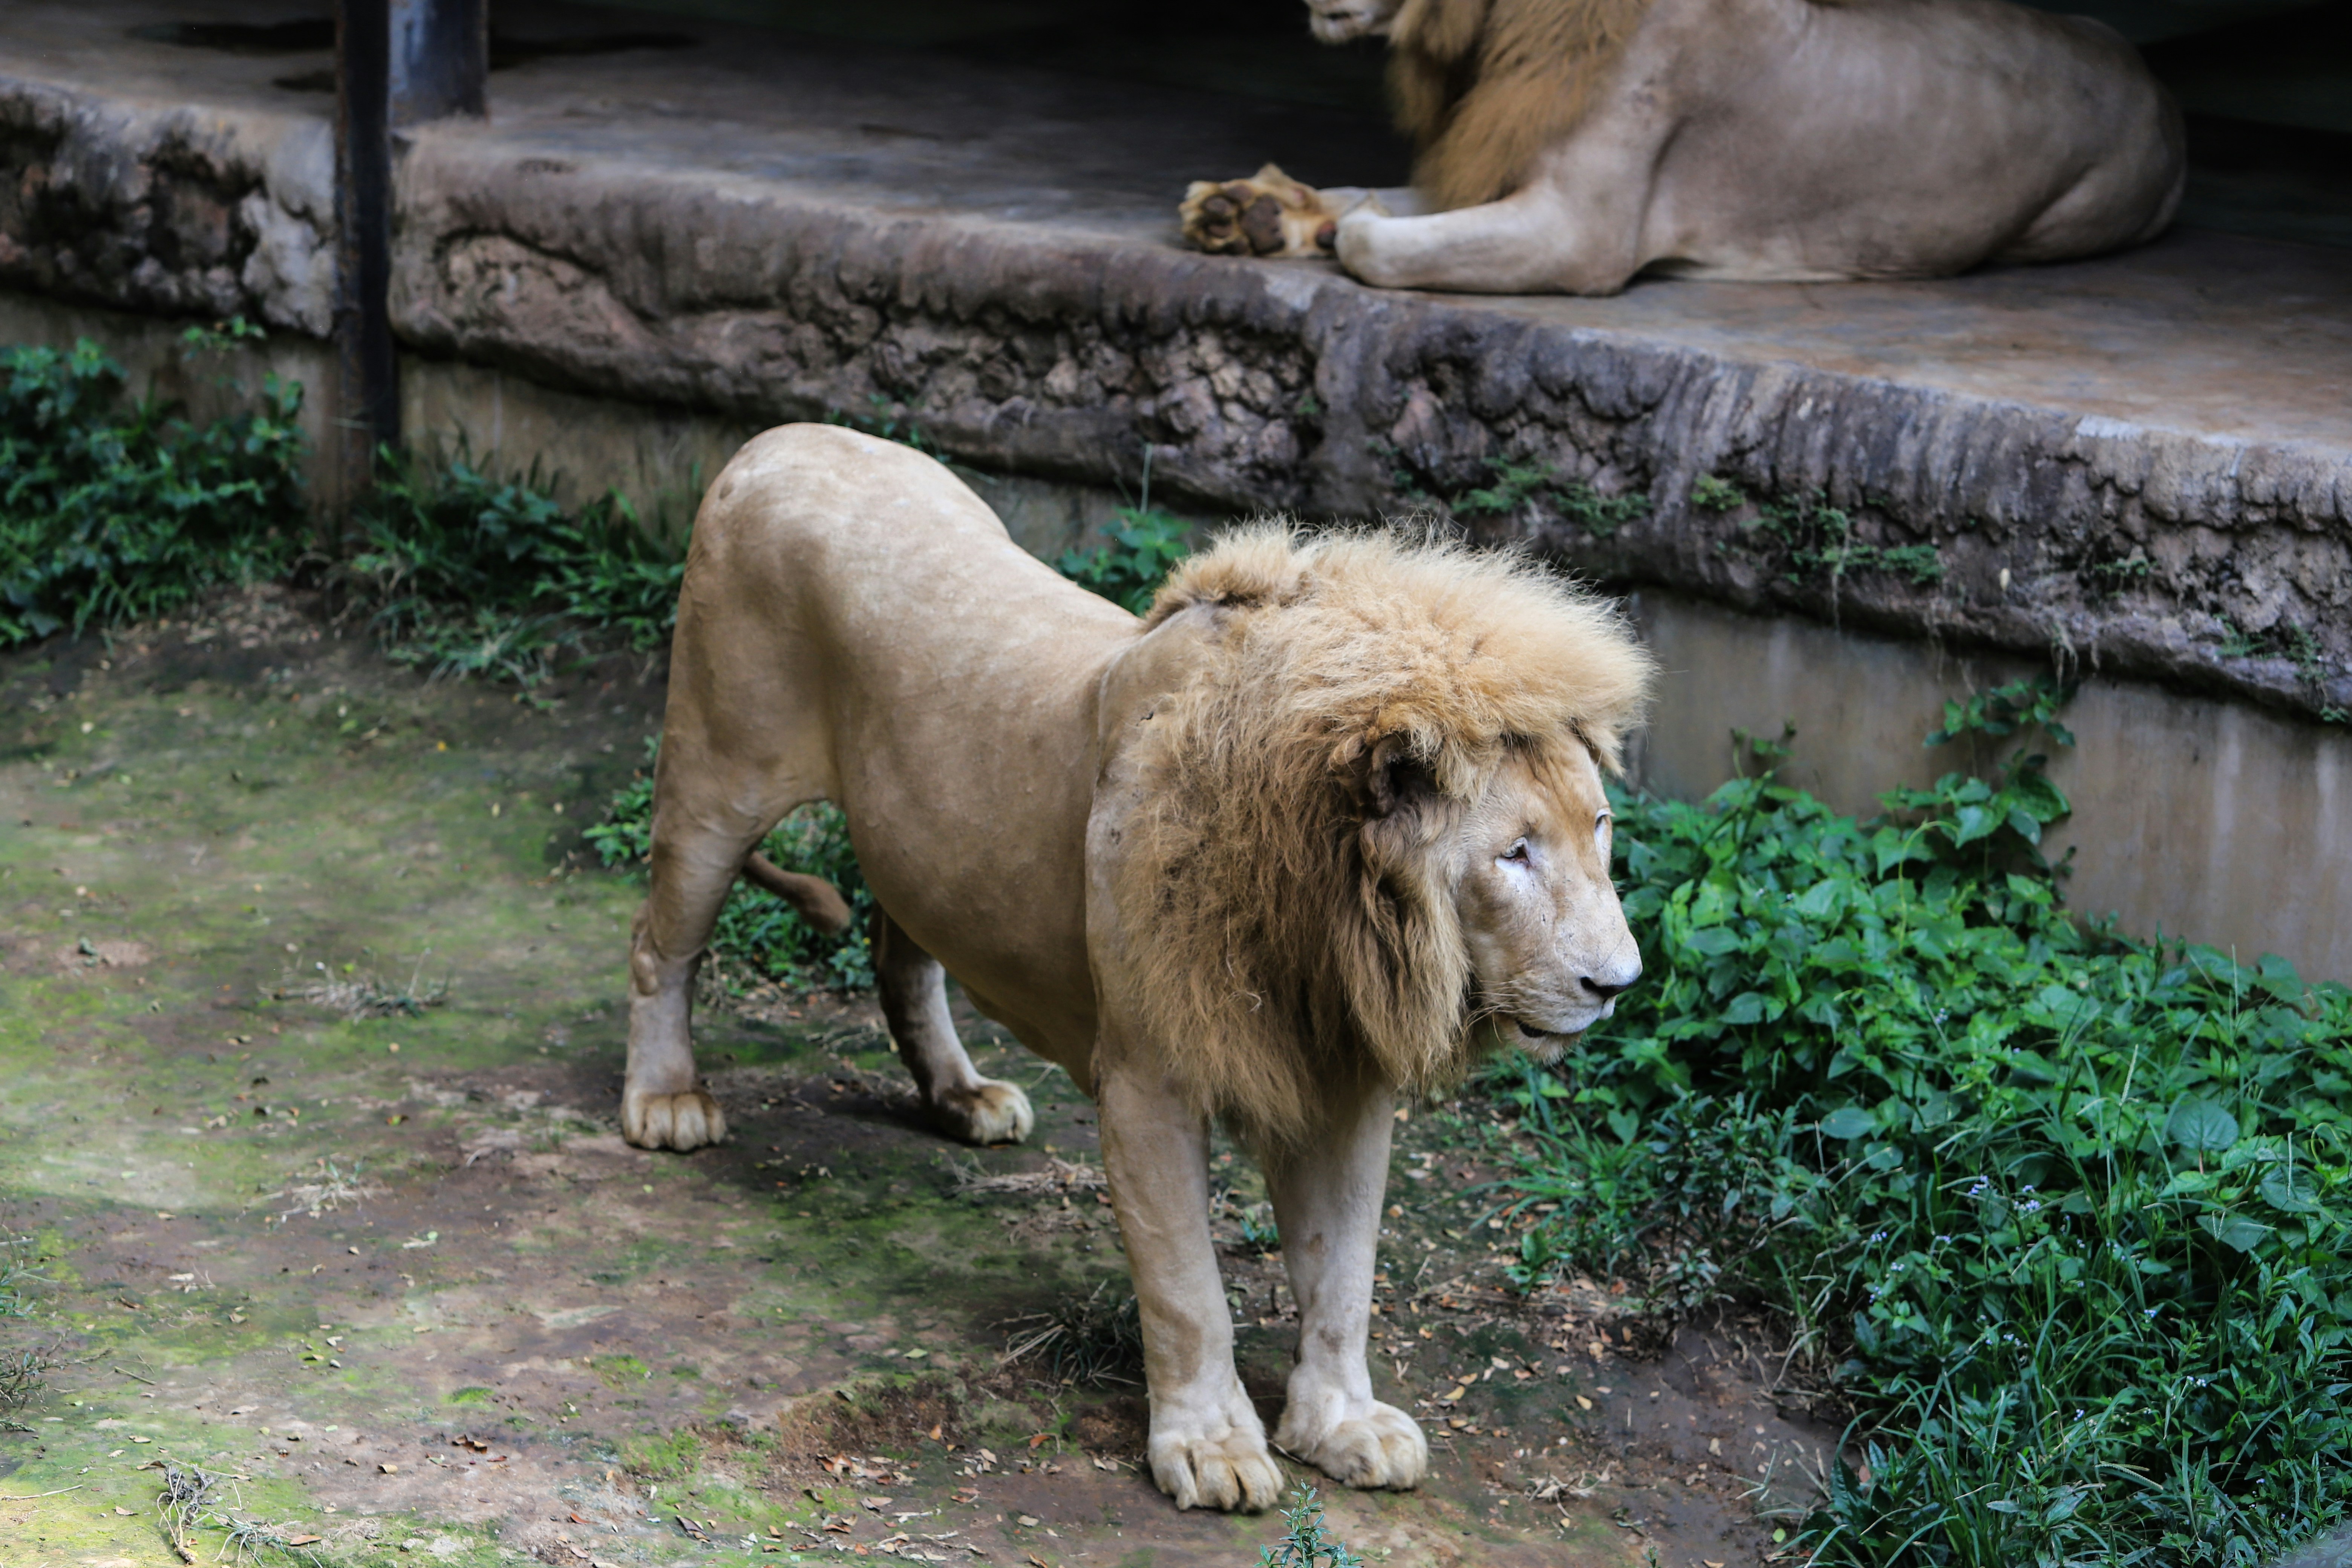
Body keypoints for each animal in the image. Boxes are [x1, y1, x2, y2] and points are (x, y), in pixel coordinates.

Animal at [623, 423, 1654, 1509]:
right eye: (1514, 853)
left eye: (1599, 828)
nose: (1618, 984)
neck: (1323, 923)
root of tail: (781, 437)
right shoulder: (1151, 1080)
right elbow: (1189, 1286)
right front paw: (1210, 1446)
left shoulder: (1345, 1085)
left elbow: (1343, 1278)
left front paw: (1341, 1425)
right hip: (715, 780)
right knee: (661, 946)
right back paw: (666, 1101)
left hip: (921, 845)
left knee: (901, 953)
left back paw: (962, 1096)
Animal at [1178, 0, 2184, 293]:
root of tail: (2151, 71)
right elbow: (1362, 196)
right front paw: (1245, 213)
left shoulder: (1580, 232)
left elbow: (1371, 235)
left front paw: (1307, 226)